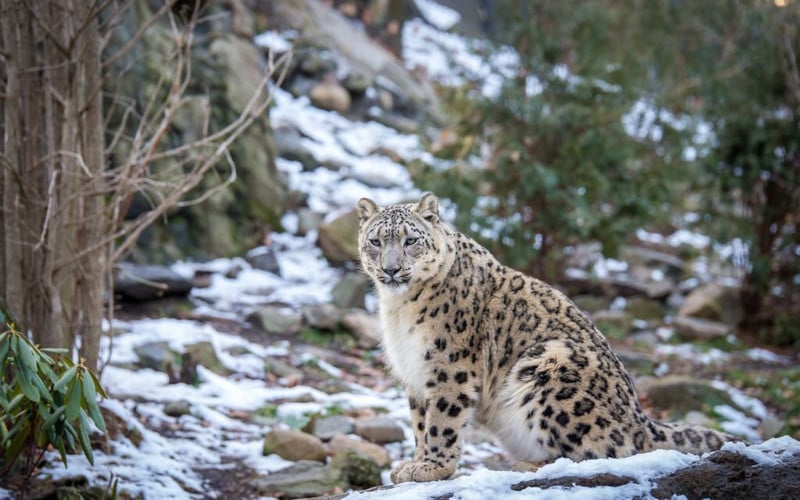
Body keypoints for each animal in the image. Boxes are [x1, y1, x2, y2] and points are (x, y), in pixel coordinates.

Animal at [356, 192, 735, 483]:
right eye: (376, 241)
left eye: (411, 240)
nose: (391, 269)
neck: (399, 309)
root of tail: (639, 419)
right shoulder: (415, 374)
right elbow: (420, 422)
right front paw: (414, 464)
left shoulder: (449, 367)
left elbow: (441, 422)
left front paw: (431, 468)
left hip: (551, 364)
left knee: (602, 453)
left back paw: (526, 465)